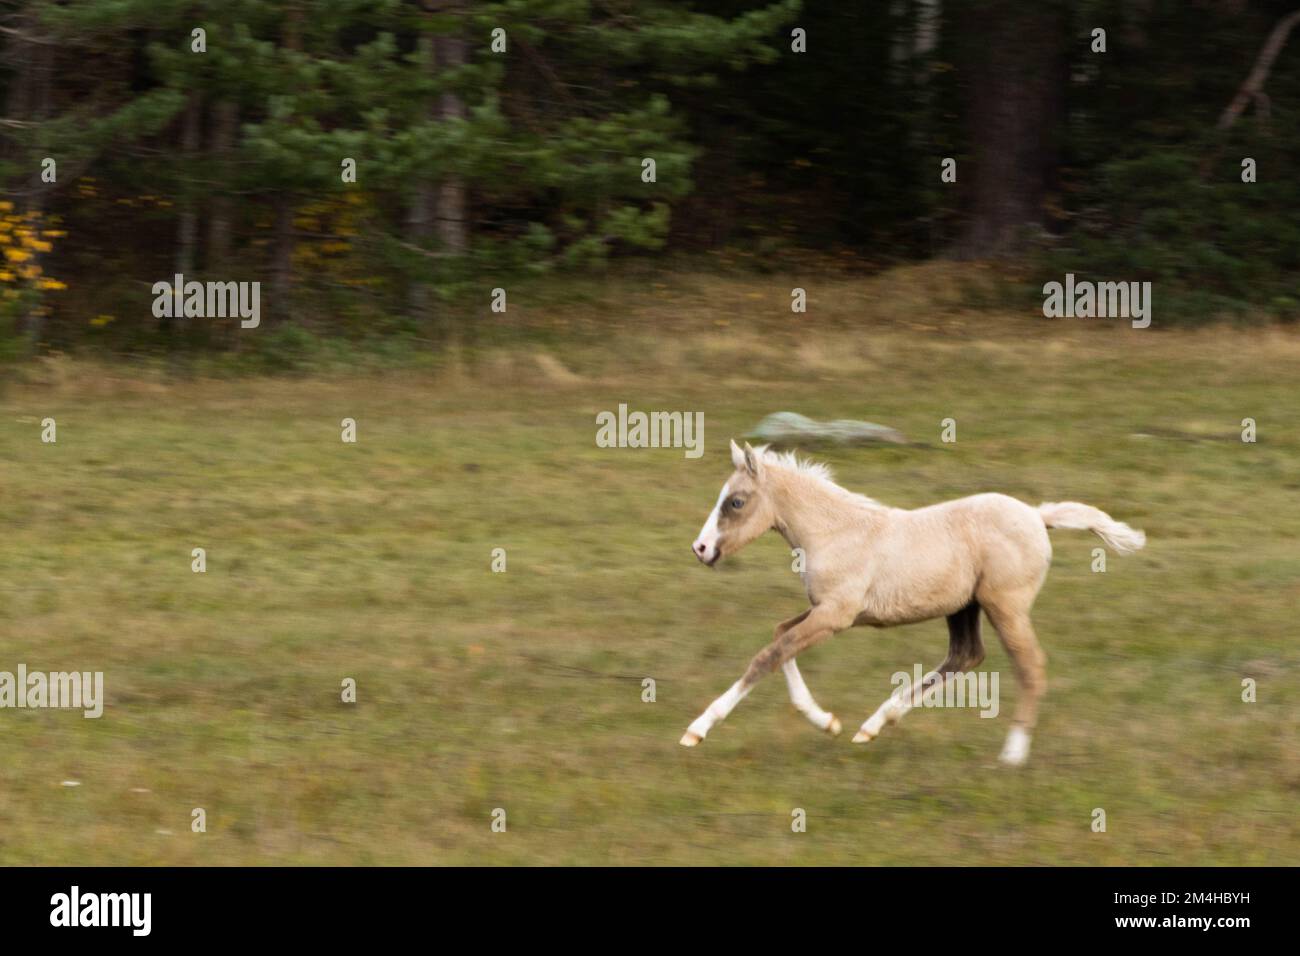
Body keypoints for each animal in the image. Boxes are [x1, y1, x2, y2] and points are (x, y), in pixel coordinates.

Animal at [683, 440, 1146, 765]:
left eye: (735, 502)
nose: (700, 549)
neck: (834, 532)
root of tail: (1036, 515)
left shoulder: (835, 615)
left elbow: (768, 655)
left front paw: (697, 729)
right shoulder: (825, 611)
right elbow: (780, 637)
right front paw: (827, 722)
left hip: (1006, 607)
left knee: (1029, 666)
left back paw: (1012, 754)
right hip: (964, 607)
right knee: (965, 656)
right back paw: (873, 725)